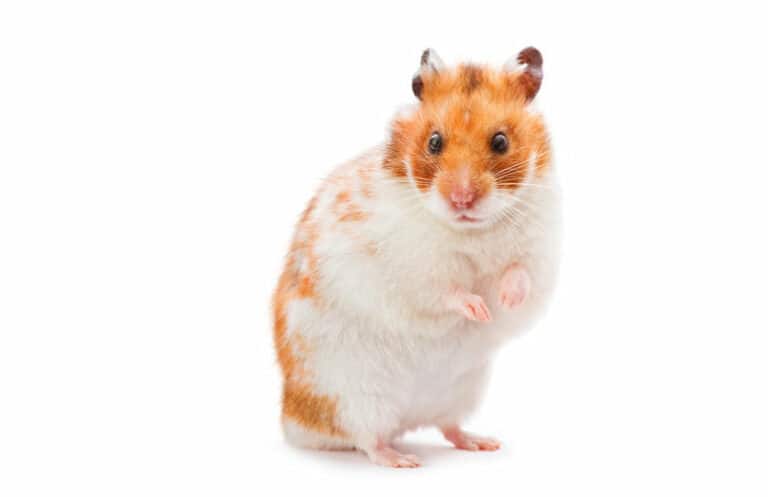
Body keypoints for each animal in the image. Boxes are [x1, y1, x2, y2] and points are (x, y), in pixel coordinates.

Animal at [272, 47, 560, 468]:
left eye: (501, 141)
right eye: (434, 142)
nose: (461, 199)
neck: (471, 230)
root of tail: (296, 420)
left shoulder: (538, 250)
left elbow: (520, 273)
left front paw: (505, 301)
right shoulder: (412, 266)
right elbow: (444, 289)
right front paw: (478, 309)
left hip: (461, 390)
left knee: (448, 426)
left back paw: (480, 442)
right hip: (354, 393)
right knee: (368, 439)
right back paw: (402, 460)